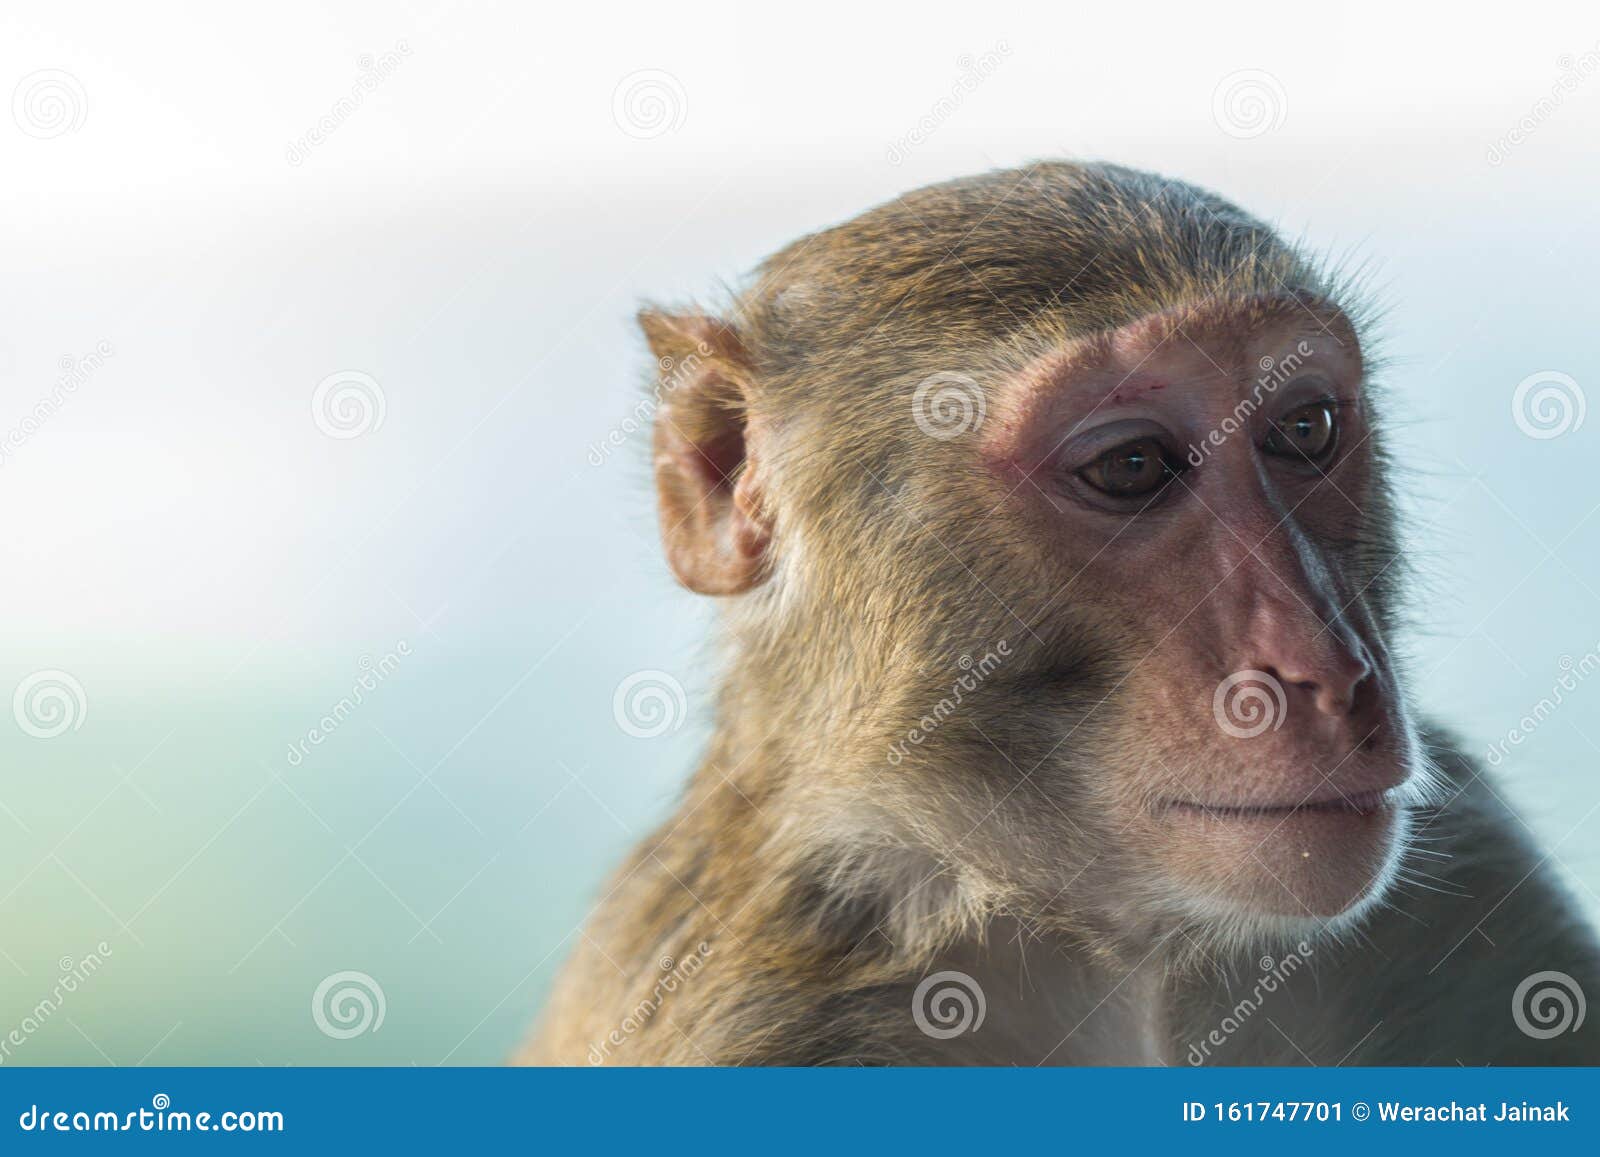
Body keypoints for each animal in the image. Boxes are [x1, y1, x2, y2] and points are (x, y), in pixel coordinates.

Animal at [523, 161, 1600, 1066]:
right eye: (1129, 465)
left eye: (1304, 427)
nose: (1329, 668)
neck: (1120, 951)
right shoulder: (760, 1022)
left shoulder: (1482, 875)